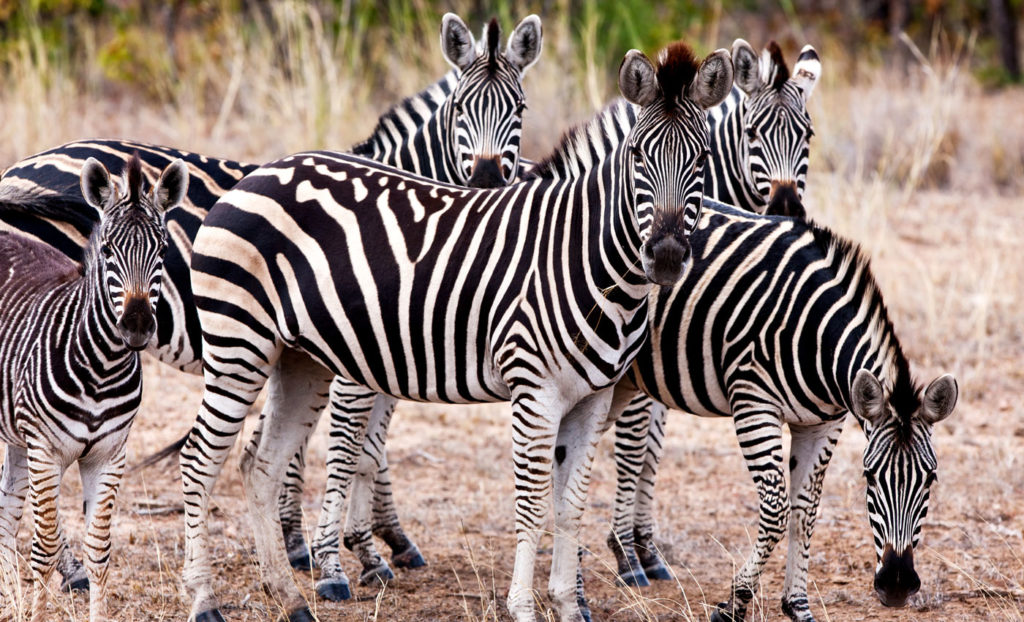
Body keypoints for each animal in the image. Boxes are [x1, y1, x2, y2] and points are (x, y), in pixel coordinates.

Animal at [0, 154, 187, 622]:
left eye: (163, 251)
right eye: (107, 251)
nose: (137, 327)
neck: (101, 369)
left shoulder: (109, 455)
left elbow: (99, 550)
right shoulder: (46, 453)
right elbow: (46, 549)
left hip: (18, 436)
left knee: (6, 512)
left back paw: (9, 601)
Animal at [179, 42, 733, 622]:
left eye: (701, 161)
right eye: (638, 158)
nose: (666, 257)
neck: (583, 257)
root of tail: (255, 176)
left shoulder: (592, 399)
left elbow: (571, 508)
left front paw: (566, 602)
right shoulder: (535, 392)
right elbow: (532, 506)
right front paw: (523, 608)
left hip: (298, 360)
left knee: (259, 467)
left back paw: (288, 599)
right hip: (239, 345)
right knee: (200, 461)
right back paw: (204, 600)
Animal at [608, 200, 957, 622]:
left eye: (931, 479)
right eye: (869, 476)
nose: (896, 586)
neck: (817, 336)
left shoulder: (824, 424)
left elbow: (805, 512)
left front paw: (798, 605)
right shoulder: (754, 404)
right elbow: (776, 513)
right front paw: (734, 604)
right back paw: (626, 562)